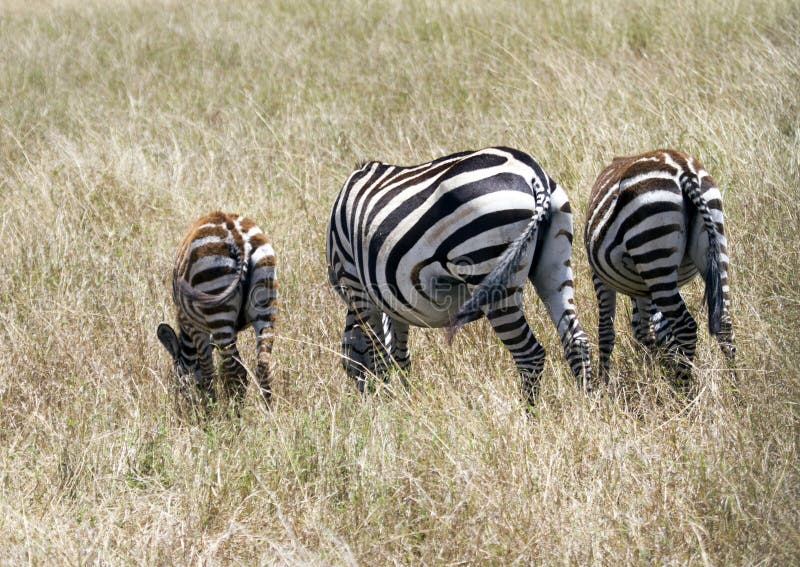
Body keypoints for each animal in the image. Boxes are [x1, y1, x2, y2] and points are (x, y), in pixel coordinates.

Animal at [157, 211, 278, 406]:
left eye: (177, 384)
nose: (183, 409)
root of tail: (237, 235)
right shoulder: (232, 330)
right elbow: (221, 369)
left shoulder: (193, 327)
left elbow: (207, 372)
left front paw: (210, 408)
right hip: (265, 304)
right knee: (262, 366)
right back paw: (268, 412)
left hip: (216, 302)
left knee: (236, 372)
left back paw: (235, 414)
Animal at [326, 146, 592, 405]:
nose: (363, 398)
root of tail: (534, 175)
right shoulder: (391, 298)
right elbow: (399, 354)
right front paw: (408, 402)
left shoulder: (357, 285)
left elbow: (379, 354)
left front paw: (388, 404)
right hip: (554, 265)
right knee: (576, 340)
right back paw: (588, 405)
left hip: (488, 265)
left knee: (530, 355)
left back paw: (529, 414)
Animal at [584, 149, 735, 392]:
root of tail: (685, 170)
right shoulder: (643, 287)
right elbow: (647, 330)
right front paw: (655, 371)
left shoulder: (599, 276)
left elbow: (606, 330)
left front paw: (603, 386)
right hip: (715, 246)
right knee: (725, 325)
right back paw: (736, 388)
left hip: (654, 250)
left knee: (686, 328)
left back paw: (683, 392)